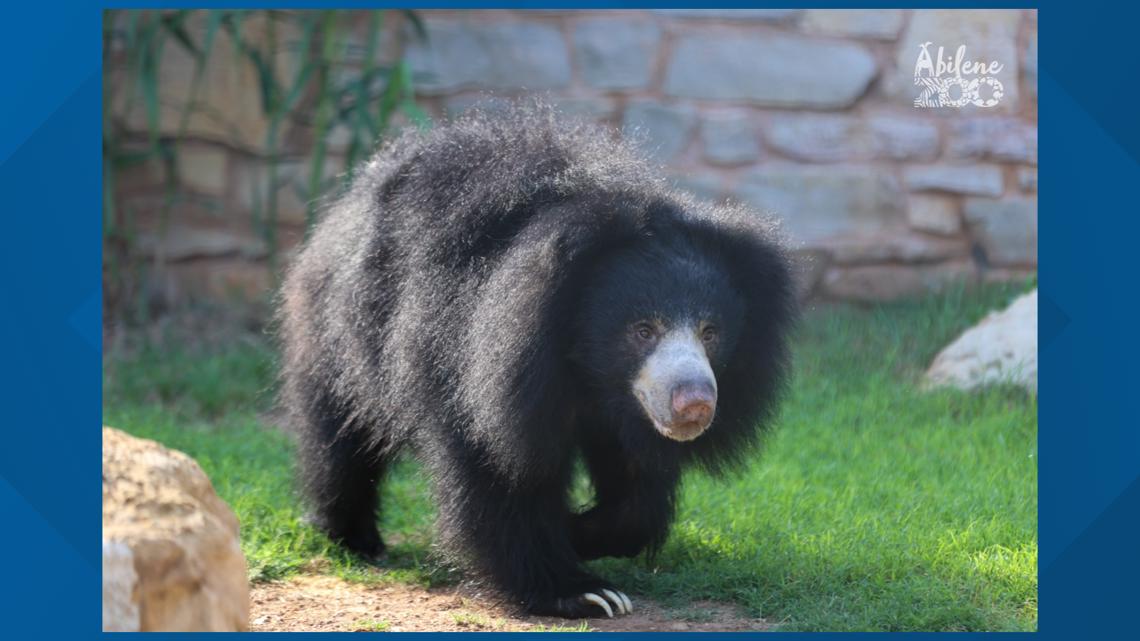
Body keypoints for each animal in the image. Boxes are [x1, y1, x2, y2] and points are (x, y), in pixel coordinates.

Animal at [279, 104, 795, 619]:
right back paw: (354, 537)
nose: (694, 404)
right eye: (642, 330)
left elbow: (635, 493)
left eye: (711, 332)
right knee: (339, 434)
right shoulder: (467, 358)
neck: (587, 374)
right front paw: (583, 592)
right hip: (339, 332)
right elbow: (497, 468)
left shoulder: (623, 408)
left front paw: (577, 531)